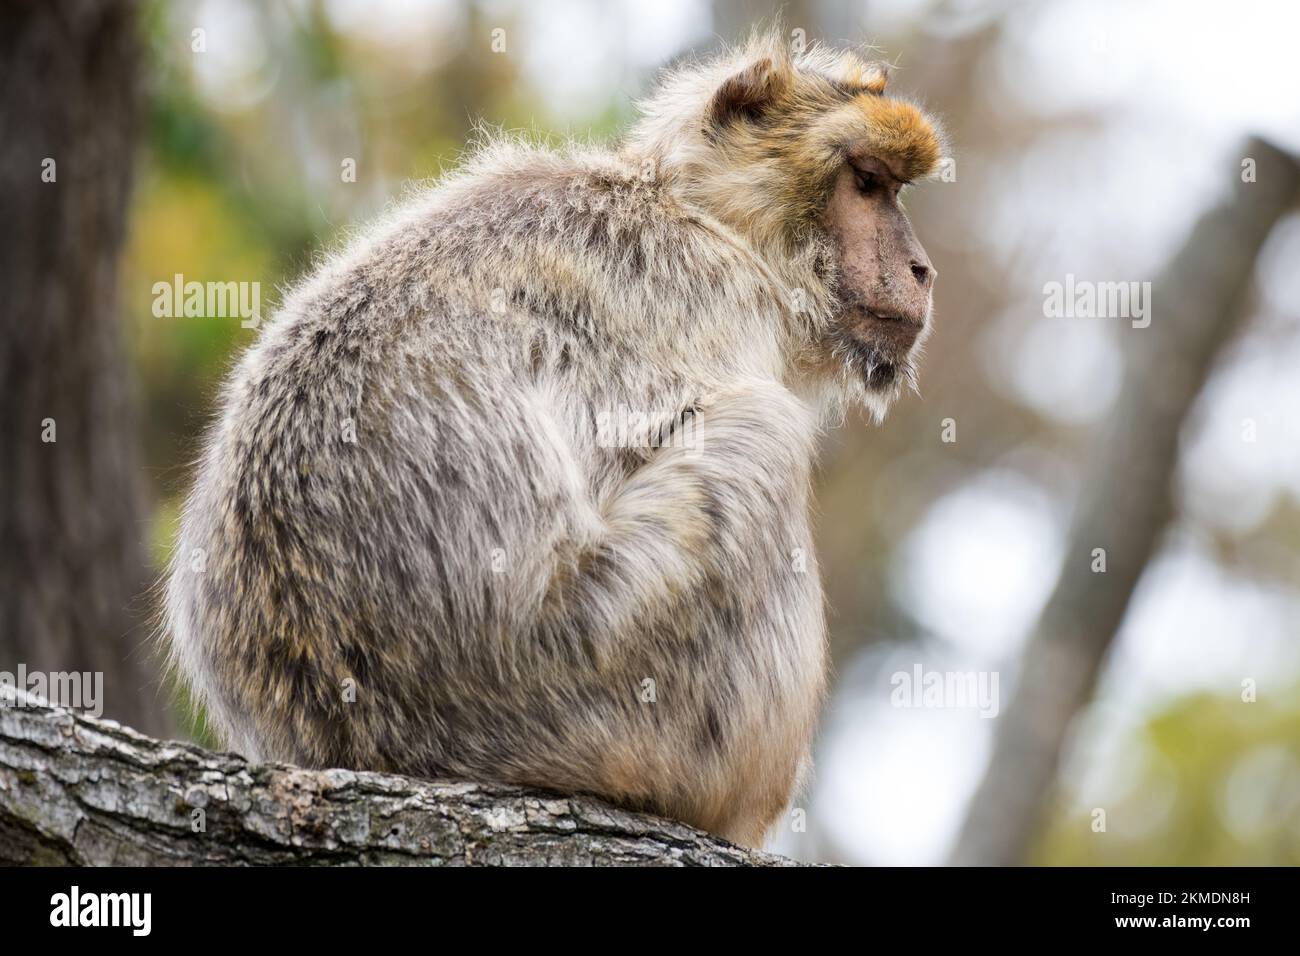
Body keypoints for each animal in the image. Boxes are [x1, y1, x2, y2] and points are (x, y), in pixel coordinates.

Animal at [164, 28, 943, 848]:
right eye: (866, 182)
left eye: (895, 189)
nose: (922, 268)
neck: (702, 216)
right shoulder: (710, 297)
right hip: (601, 674)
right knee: (764, 435)